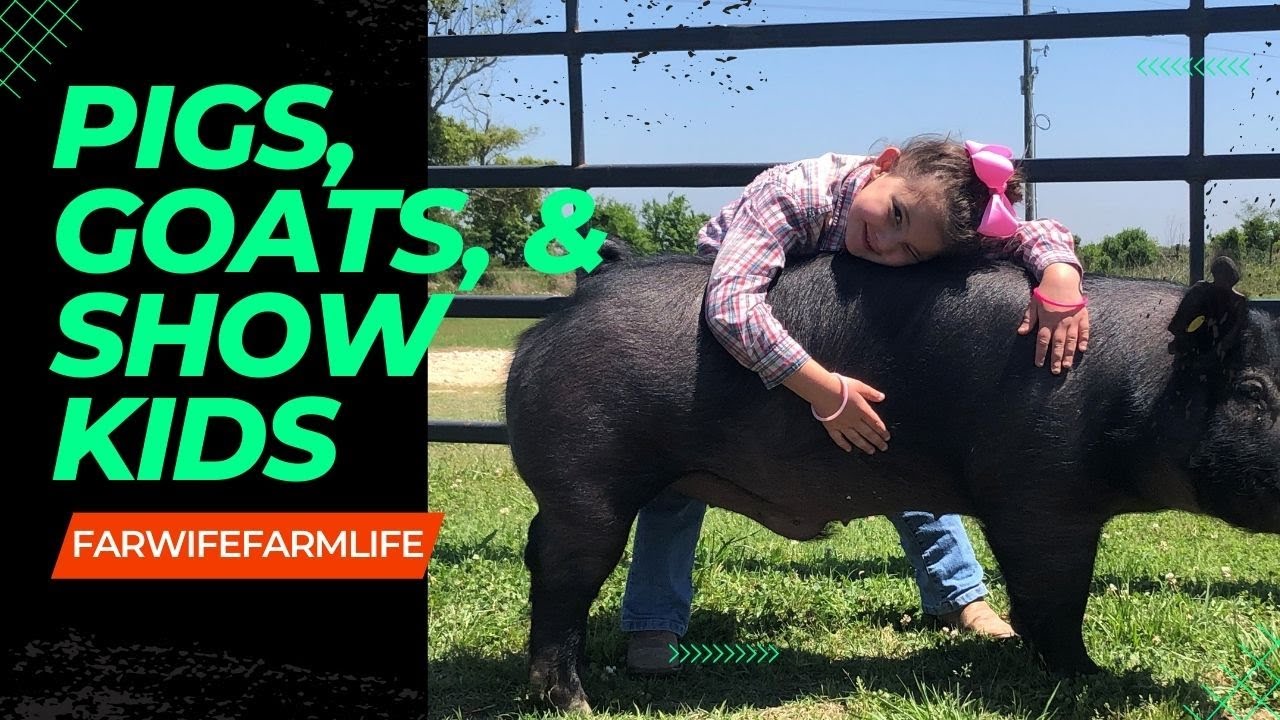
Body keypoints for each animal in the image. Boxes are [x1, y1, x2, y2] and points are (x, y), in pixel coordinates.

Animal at [504, 247, 1280, 714]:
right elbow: (1058, 598)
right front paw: (1091, 677)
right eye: (1250, 391)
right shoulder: (1042, 502)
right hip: (586, 483)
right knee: (559, 577)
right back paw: (572, 701)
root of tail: (542, 332)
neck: (1132, 395)